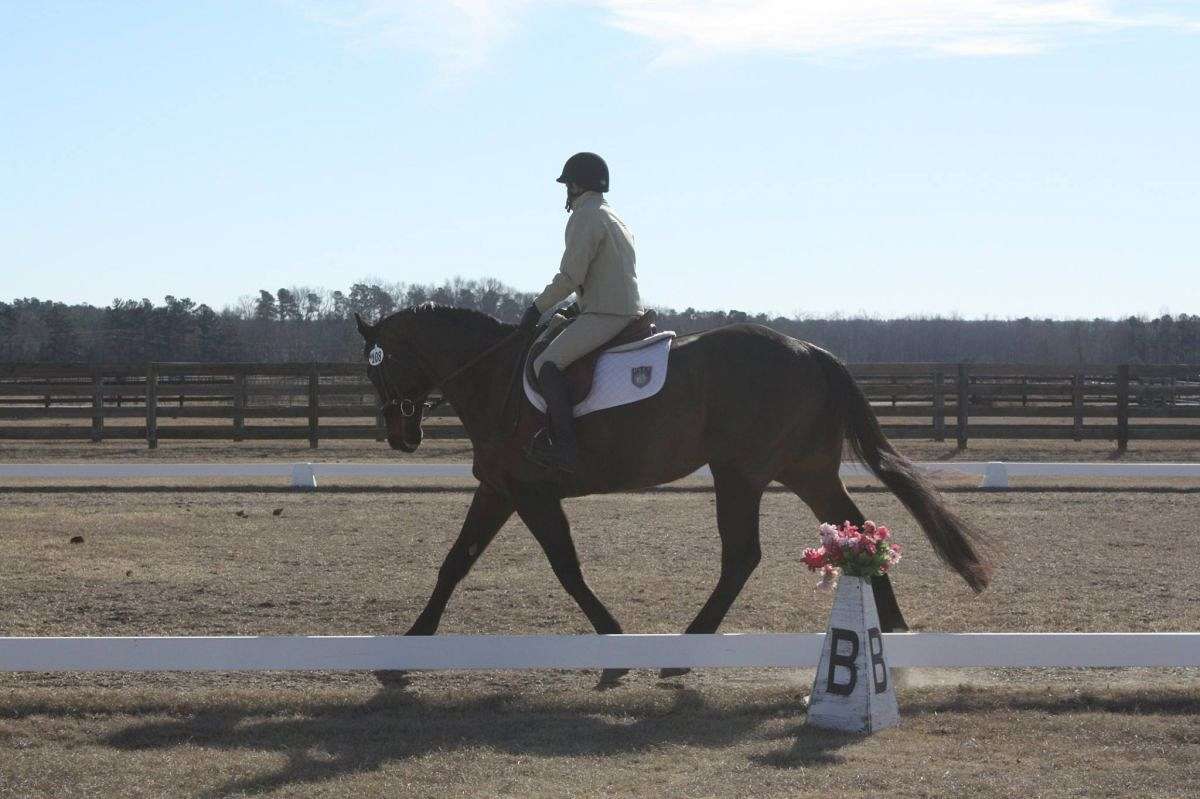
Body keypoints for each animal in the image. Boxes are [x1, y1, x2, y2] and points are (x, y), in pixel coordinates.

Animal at [356, 304, 993, 686]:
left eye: (376, 368)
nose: (402, 436)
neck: (496, 380)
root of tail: (811, 351)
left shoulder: (531, 493)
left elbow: (566, 568)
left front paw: (615, 648)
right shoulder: (500, 489)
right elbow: (454, 562)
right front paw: (409, 648)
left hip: (740, 473)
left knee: (742, 556)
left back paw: (682, 652)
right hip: (805, 470)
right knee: (858, 532)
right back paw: (896, 638)